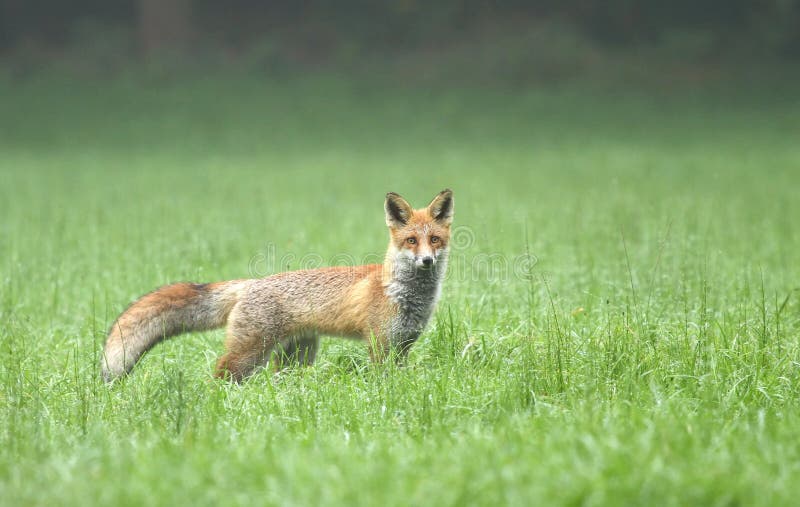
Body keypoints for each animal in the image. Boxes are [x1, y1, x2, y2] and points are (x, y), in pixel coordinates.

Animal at [101, 189, 454, 382]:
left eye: (435, 240)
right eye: (411, 241)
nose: (427, 261)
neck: (405, 295)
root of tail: (251, 283)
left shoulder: (404, 345)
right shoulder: (379, 345)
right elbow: (383, 382)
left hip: (296, 356)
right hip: (249, 353)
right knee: (220, 374)